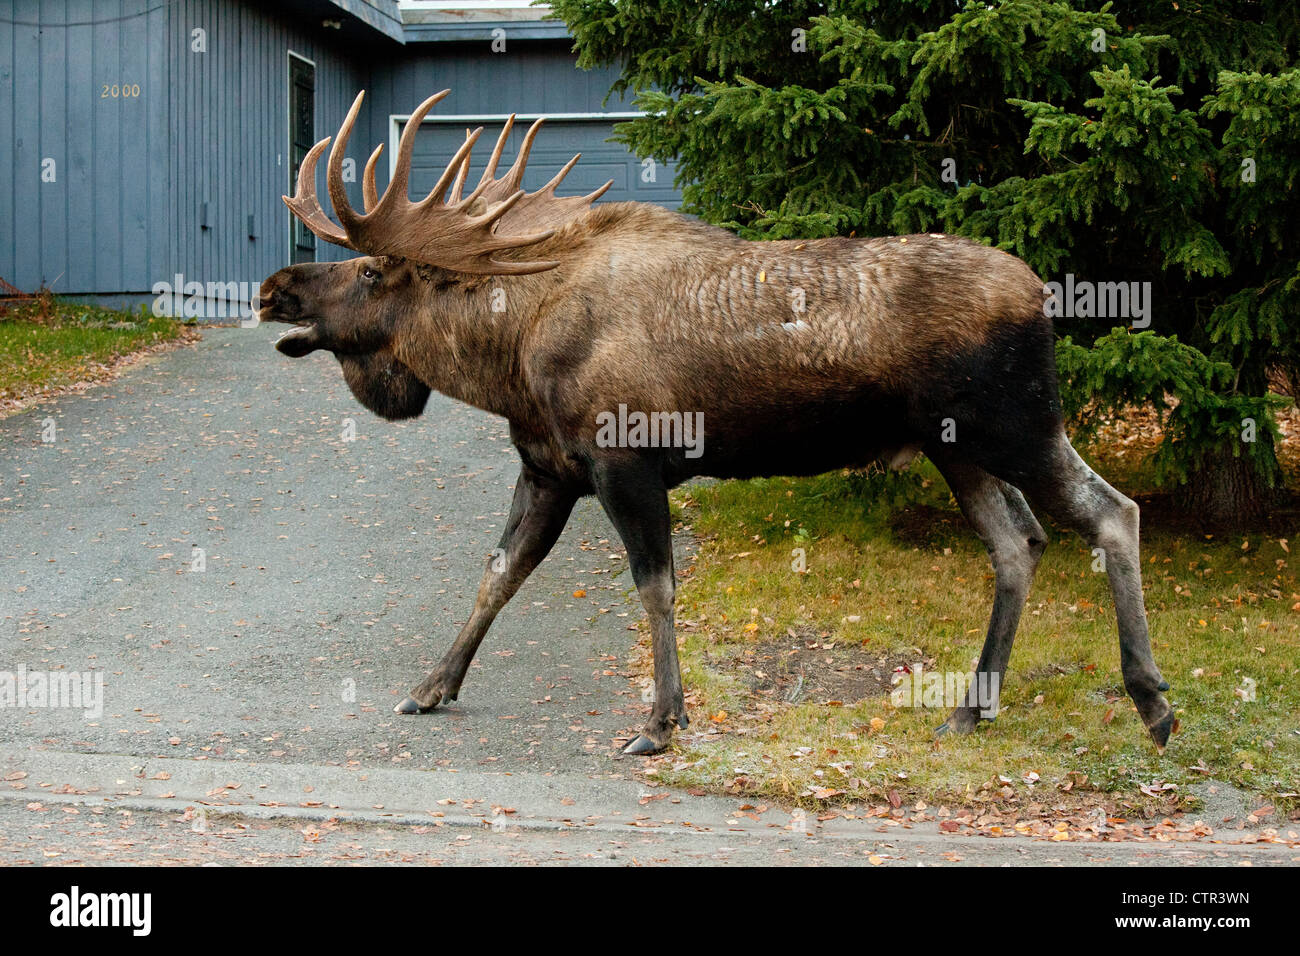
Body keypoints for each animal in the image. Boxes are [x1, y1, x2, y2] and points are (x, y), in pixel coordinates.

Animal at [258, 91, 1175, 754]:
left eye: (370, 271)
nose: (275, 288)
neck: (508, 362)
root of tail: (1043, 297)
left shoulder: (625, 462)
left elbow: (656, 588)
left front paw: (662, 722)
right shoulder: (548, 468)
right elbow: (497, 574)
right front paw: (431, 686)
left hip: (1014, 427)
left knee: (1113, 514)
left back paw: (1152, 702)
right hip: (959, 452)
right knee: (1019, 544)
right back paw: (971, 707)